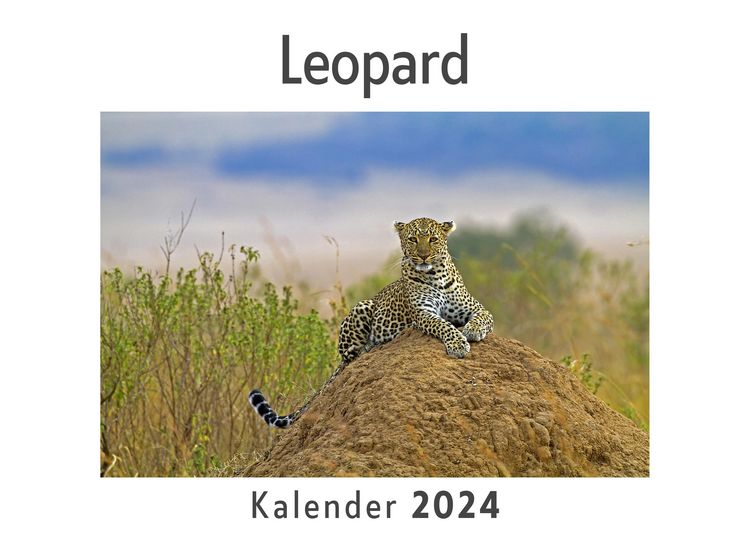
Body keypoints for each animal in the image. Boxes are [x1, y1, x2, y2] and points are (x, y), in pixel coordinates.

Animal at [249, 217, 494, 428]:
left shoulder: (474, 307)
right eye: (413, 239)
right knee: (351, 356)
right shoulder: (423, 314)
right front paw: (458, 345)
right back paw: (369, 348)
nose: (423, 256)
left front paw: (472, 330)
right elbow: (443, 325)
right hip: (363, 307)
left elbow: (484, 316)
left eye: (433, 239)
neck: (436, 276)